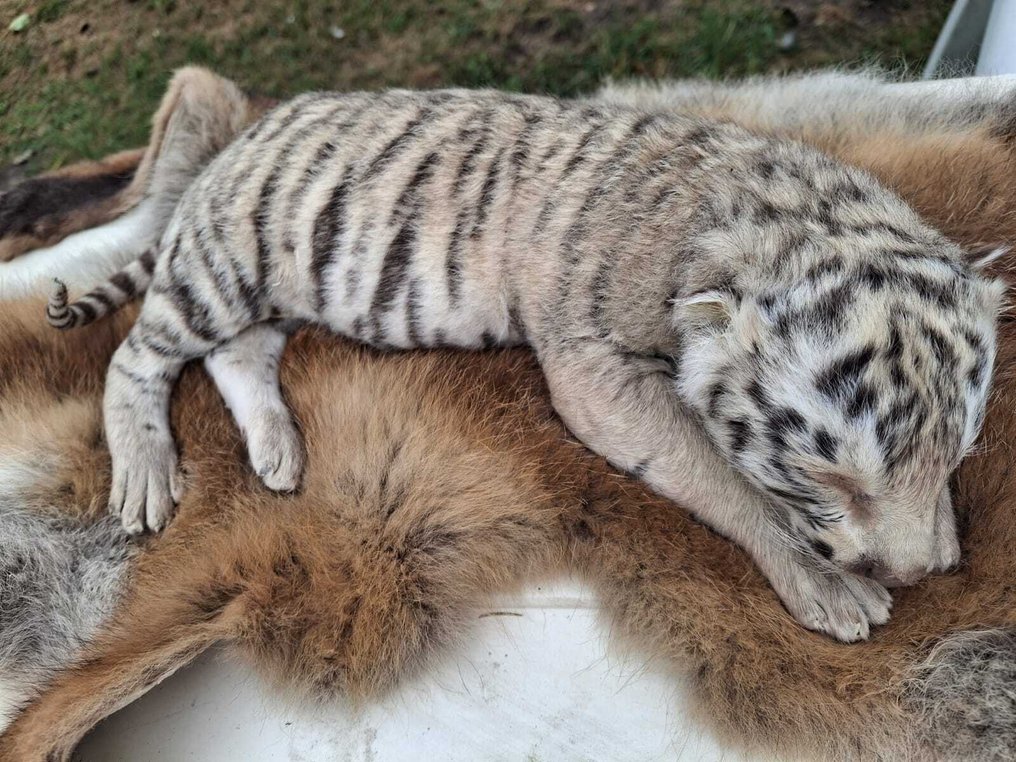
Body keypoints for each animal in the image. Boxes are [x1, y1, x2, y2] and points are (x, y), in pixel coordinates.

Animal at [47, 87, 1005, 643]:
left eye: (955, 457)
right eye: (832, 479)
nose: (919, 575)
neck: (787, 213)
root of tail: (230, 147)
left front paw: (936, 538)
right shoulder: (592, 373)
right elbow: (727, 484)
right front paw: (831, 587)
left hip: (285, 289)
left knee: (236, 356)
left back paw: (279, 450)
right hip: (225, 266)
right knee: (138, 356)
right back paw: (145, 475)